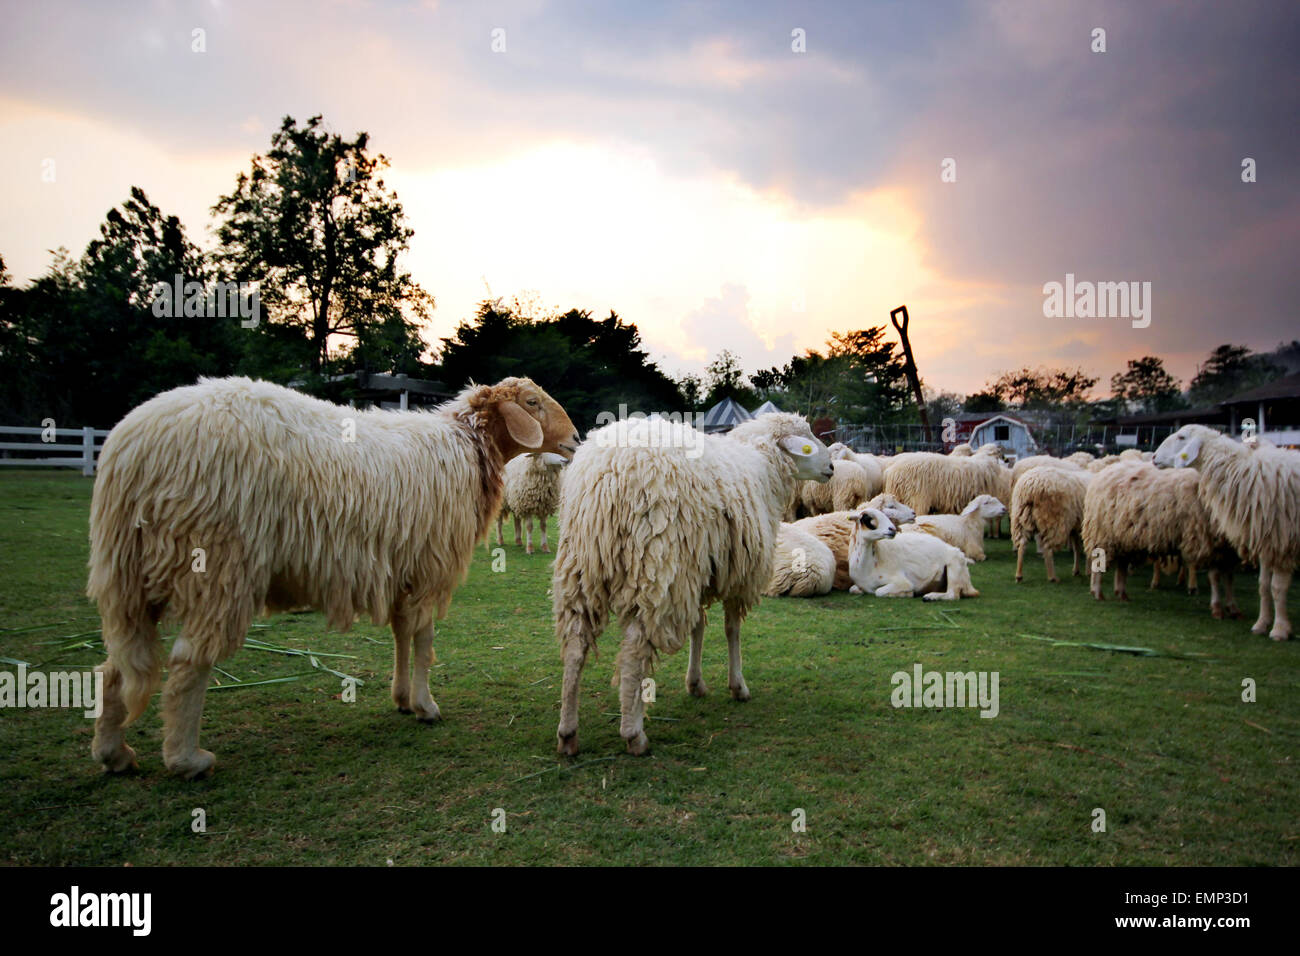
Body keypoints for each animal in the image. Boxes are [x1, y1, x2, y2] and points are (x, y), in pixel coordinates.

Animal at [86, 375, 578, 778]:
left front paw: (402, 698)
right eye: (532, 402)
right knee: (189, 661)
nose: (575, 439)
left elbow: (401, 634)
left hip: (132, 572)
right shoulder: (429, 564)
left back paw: (115, 754)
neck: (465, 445)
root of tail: (131, 447)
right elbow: (422, 640)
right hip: (216, 563)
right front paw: (425, 705)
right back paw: (187, 760)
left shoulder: (403, 568)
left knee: (117, 665)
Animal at [552, 412, 833, 755]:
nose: (832, 467)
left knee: (575, 646)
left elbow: (698, 626)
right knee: (634, 652)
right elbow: (731, 630)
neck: (763, 466)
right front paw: (738, 686)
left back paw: (568, 733)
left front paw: (695, 682)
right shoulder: (737, 575)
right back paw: (634, 734)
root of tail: (609, 473)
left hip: (582, 567)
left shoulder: (700, 568)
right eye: (806, 442)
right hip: (655, 567)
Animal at [846, 509, 980, 600]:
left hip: (955, 565)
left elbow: (879, 591)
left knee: (953, 594)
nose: (892, 529)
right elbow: (852, 589)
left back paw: (930, 597)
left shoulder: (902, 581)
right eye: (867, 518)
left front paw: (907, 594)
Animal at [1081, 460, 1241, 620]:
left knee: (1121, 566)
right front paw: (1217, 608)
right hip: (1103, 535)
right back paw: (1098, 592)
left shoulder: (1228, 550)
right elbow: (1215, 576)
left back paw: (1122, 594)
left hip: (1123, 539)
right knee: (1099, 563)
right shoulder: (1209, 543)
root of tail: (1105, 472)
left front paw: (1233, 608)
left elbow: (1229, 577)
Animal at [1155, 425, 1300, 639]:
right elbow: (1264, 586)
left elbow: (1277, 587)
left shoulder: (1282, 541)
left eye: (1181, 437)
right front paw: (1262, 624)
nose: (1154, 456)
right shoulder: (1266, 540)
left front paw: (1280, 630)